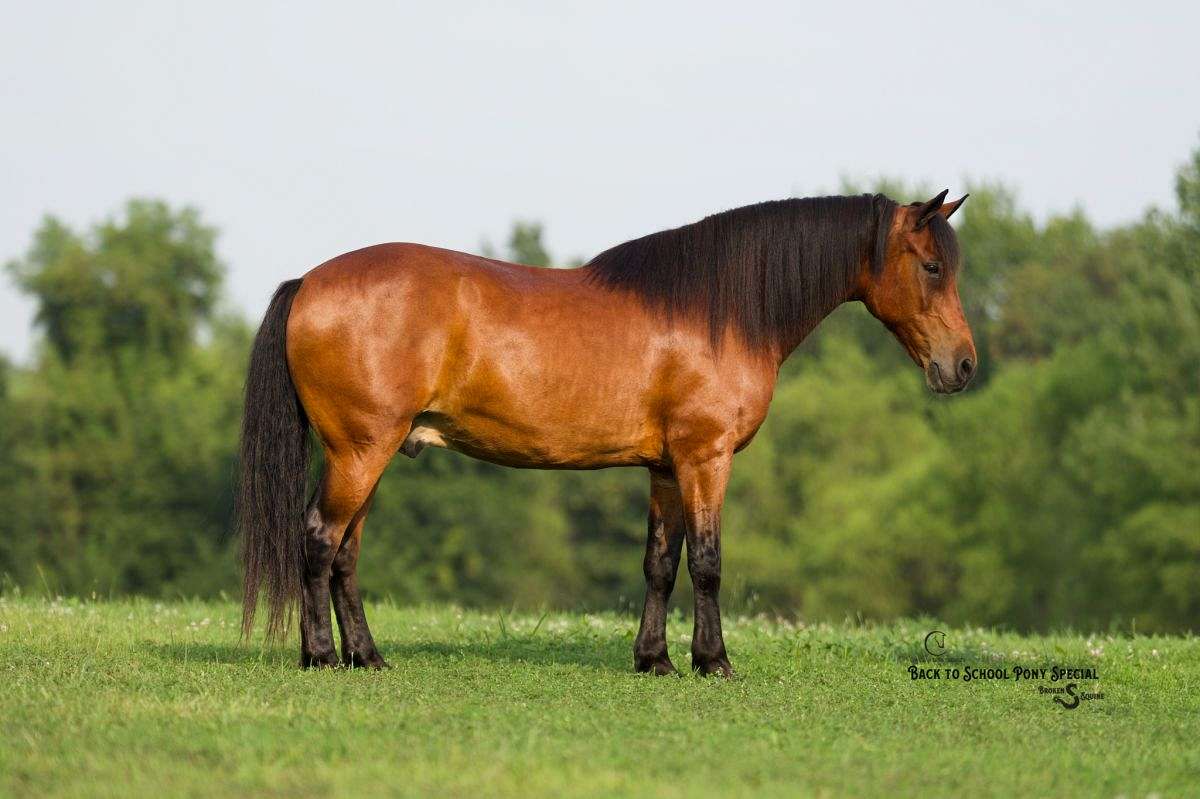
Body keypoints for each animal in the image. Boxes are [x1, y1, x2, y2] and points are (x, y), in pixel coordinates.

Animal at [236, 190, 975, 675]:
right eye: (932, 266)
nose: (963, 365)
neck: (718, 312)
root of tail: (309, 283)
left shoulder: (667, 467)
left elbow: (659, 564)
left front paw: (655, 660)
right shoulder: (705, 458)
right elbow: (707, 562)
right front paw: (714, 661)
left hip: (367, 454)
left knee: (345, 554)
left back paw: (367, 656)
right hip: (360, 451)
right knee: (319, 539)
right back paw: (321, 657)